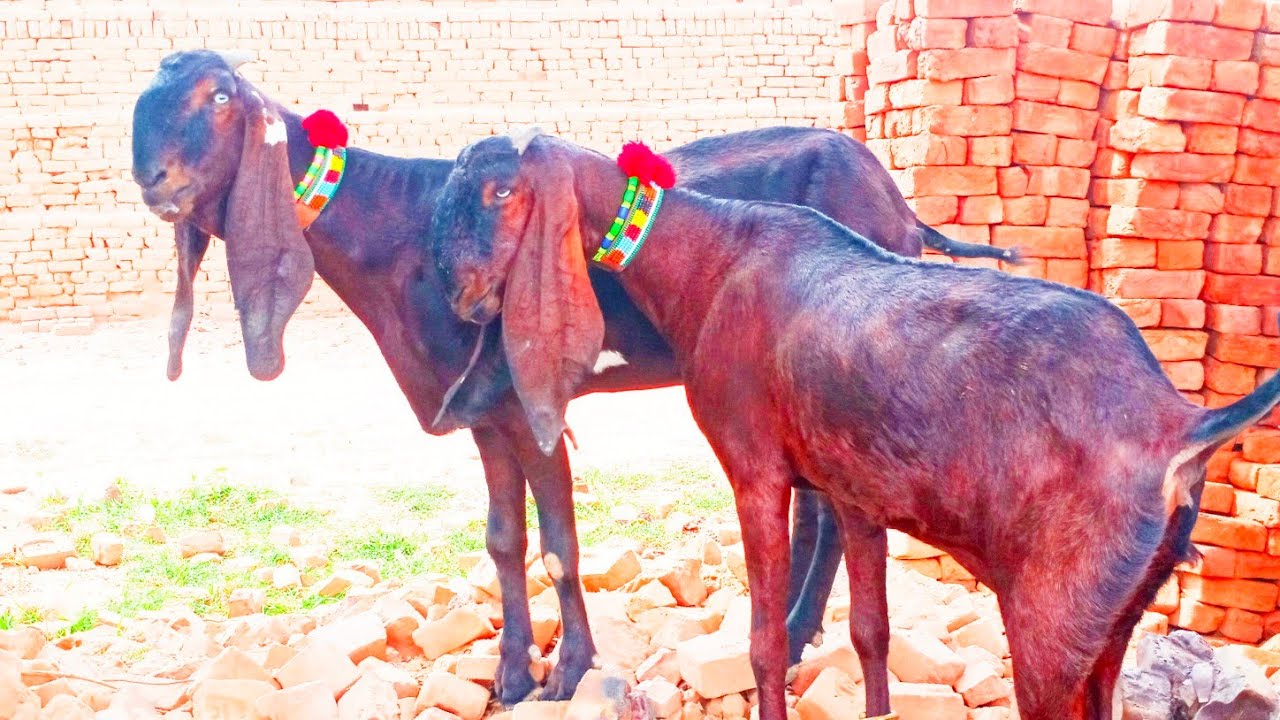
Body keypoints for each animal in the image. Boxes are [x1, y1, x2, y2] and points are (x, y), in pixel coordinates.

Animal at [130, 49, 1016, 704]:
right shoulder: (481, 414)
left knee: (827, 512)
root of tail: (901, 210)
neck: (395, 232)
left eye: (218, 98)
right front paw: (512, 675)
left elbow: (560, 540)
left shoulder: (526, 401)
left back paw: (795, 635)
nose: (154, 179)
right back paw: (799, 628)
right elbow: (504, 539)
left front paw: (568, 671)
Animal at [431, 131, 1280, 719]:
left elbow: (767, 643)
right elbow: (870, 632)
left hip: (1056, 606)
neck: (712, 259)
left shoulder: (757, 471)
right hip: (1117, 611)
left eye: (500, 192)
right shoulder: (856, 493)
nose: (456, 293)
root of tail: (1179, 423)